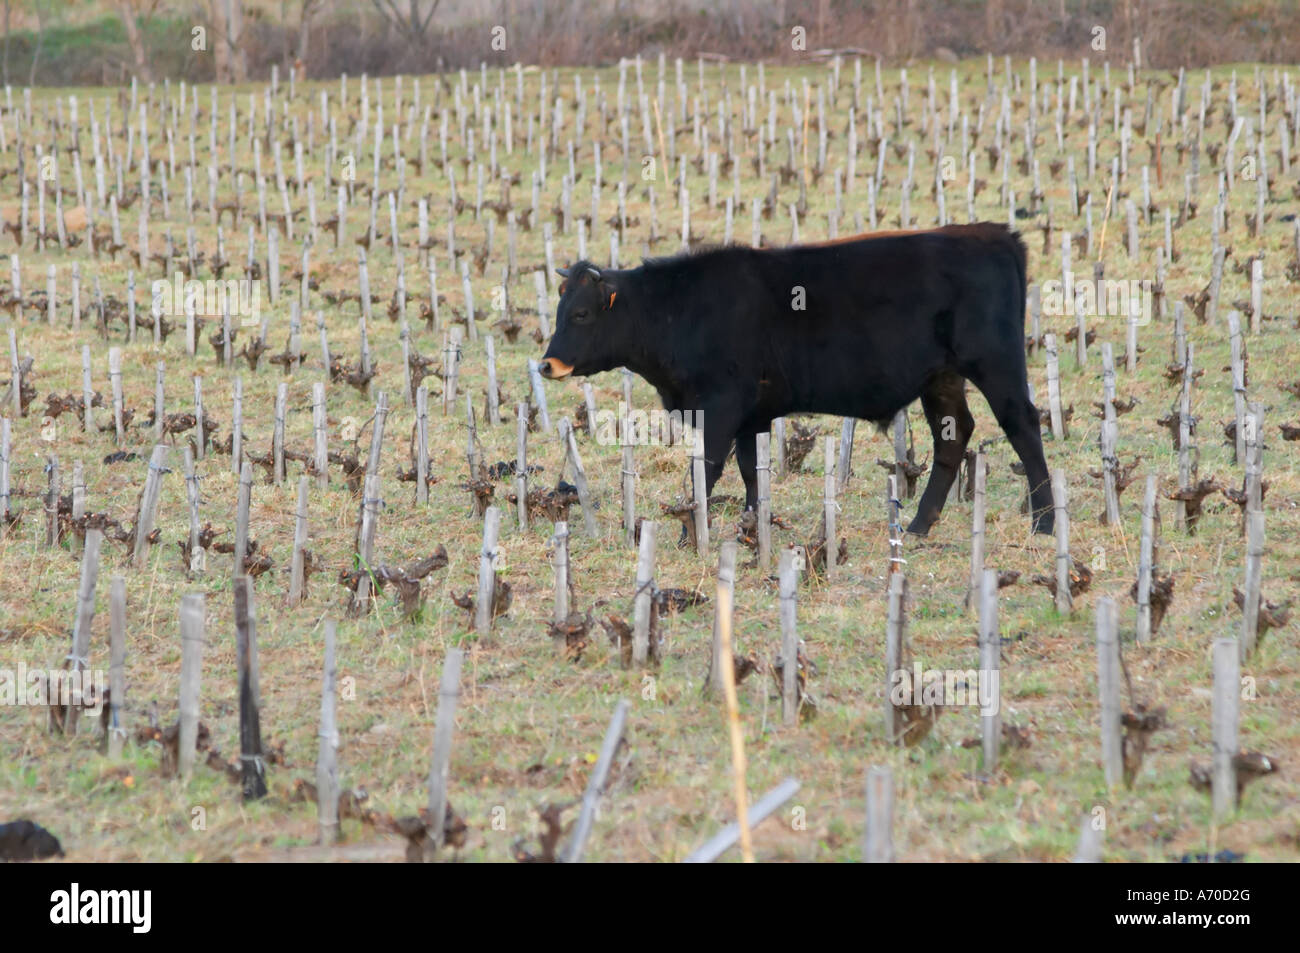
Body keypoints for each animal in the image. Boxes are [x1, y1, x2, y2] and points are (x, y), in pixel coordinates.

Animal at [538, 223, 1054, 536]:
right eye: (560, 309)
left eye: (581, 314)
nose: (547, 366)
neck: (681, 308)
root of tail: (991, 233)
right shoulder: (751, 417)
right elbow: (751, 472)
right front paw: (751, 528)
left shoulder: (720, 406)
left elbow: (706, 470)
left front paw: (690, 534)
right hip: (941, 379)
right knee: (953, 438)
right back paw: (919, 526)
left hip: (997, 365)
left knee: (1024, 427)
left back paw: (1045, 523)